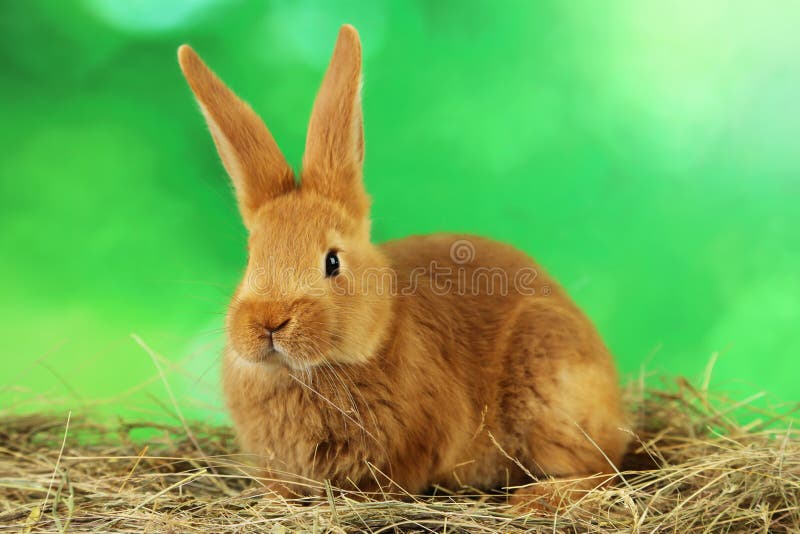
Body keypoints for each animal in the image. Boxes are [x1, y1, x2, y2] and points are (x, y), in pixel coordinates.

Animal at [178, 24, 630, 507]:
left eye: (332, 261)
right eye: (251, 256)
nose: (269, 321)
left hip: (548, 384)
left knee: (601, 470)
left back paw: (534, 498)